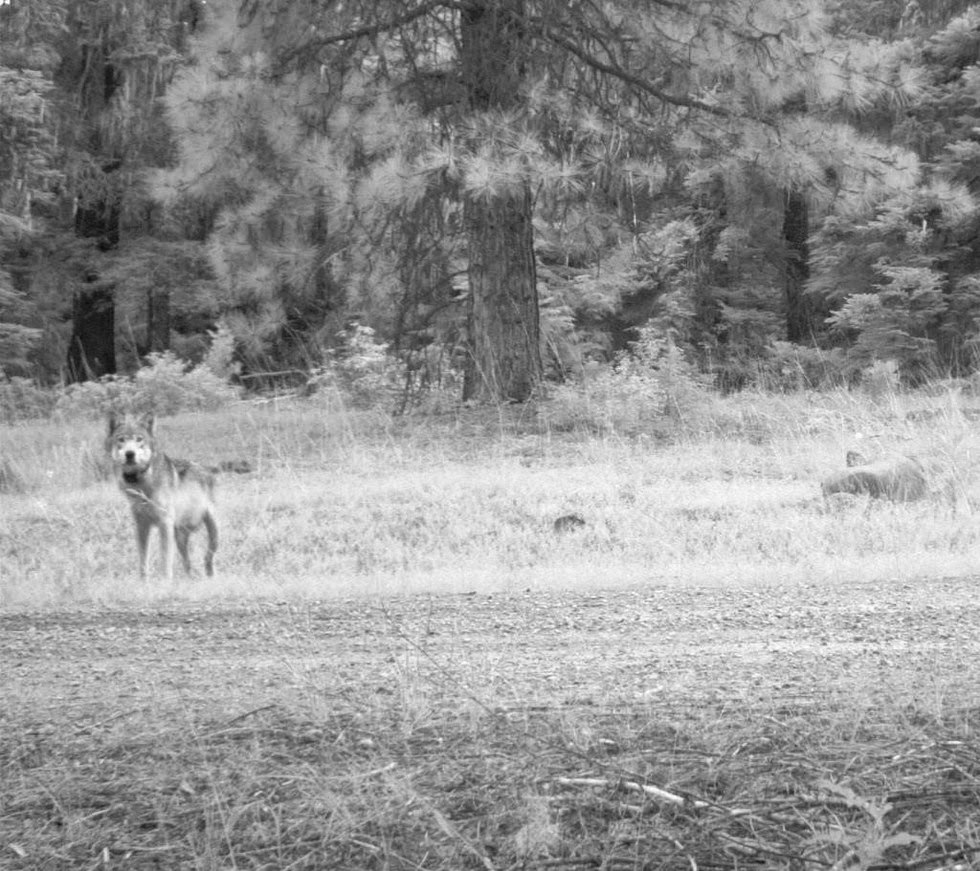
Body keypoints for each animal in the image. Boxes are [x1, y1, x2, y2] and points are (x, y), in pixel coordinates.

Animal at [106, 412, 218, 580]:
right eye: (121, 439)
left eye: (139, 439)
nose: (130, 454)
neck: (142, 483)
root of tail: (206, 469)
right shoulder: (141, 525)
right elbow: (143, 560)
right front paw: (143, 582)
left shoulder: (164, 523)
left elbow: (165, 561)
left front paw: (164, 583)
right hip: (179, 538)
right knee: (188, 563)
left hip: (211, 531)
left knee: (208, 557)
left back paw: (210, 576)